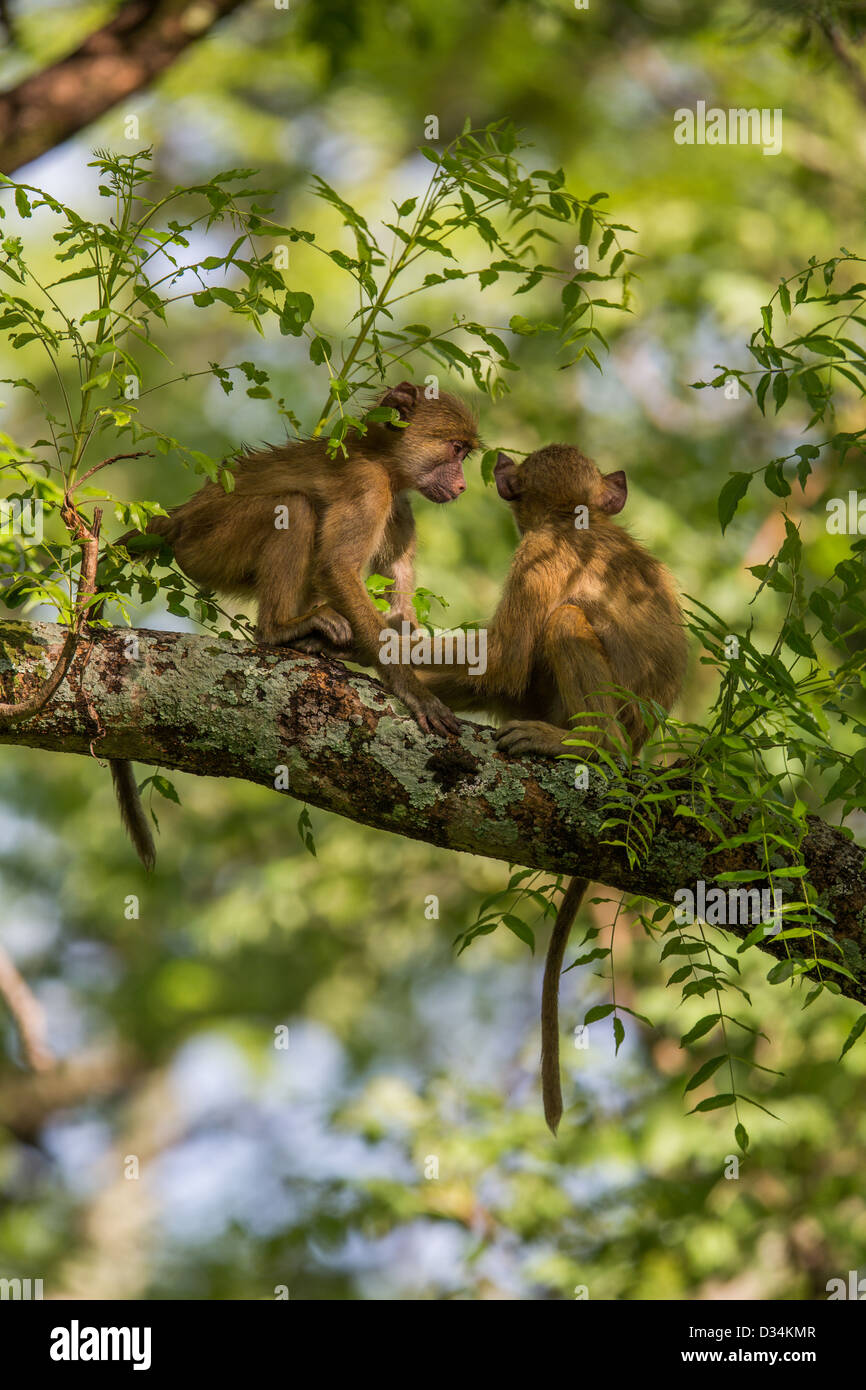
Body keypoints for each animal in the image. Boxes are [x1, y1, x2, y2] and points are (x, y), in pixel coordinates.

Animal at [103, 382, 479, 869]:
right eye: (454, 449)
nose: (462, 484)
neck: (381, 458)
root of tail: (184, 514)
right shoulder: (369, 487)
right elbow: (338, 568)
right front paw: (412, 690)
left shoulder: (399, 506)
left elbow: (402, 619)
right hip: (209, 543)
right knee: (295, 508)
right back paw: (280, 630)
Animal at [420, 444, 687, 1133]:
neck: (574, 519)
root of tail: (640, 743)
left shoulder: (536, 557)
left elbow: (502, 666)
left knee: (564, 620)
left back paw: (588, 749)